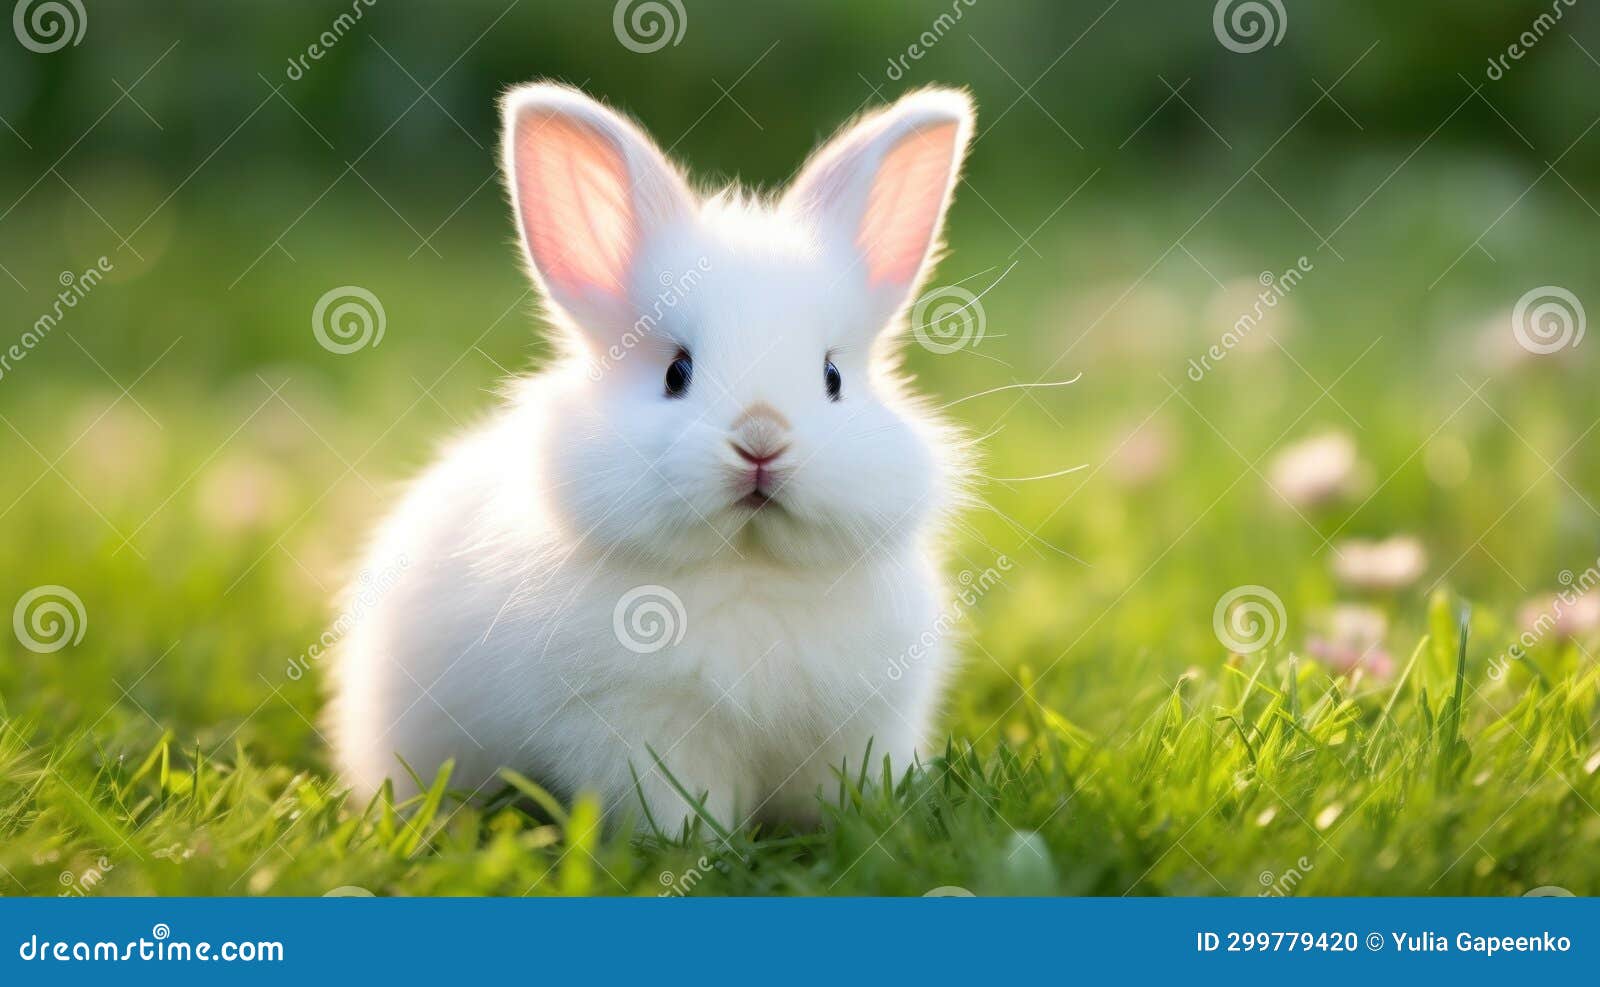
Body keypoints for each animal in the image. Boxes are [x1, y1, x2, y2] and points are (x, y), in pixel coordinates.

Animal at [327, 81, 977, 833]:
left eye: (833, 377)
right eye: (676, 372)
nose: (761, 439)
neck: (746, 566)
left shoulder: (864, 724)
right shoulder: (639, 727)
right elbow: (676, 811)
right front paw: (700, 846)